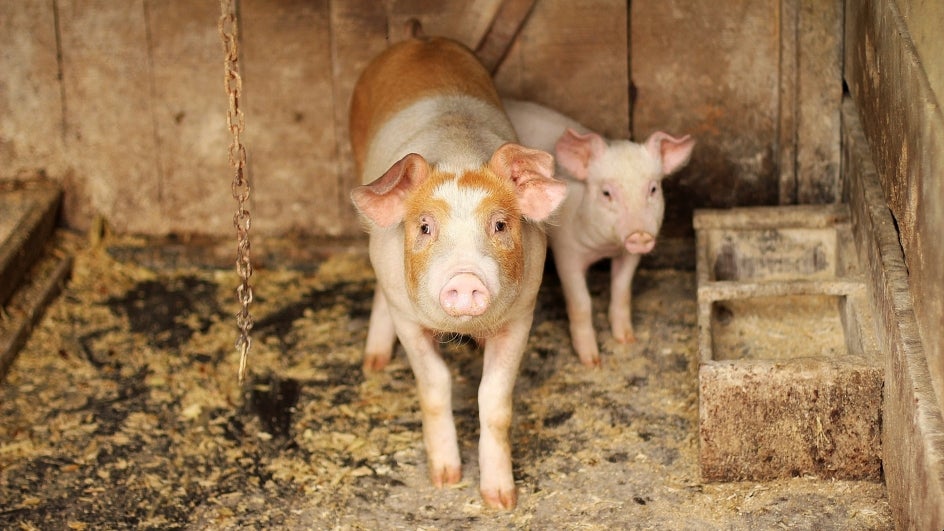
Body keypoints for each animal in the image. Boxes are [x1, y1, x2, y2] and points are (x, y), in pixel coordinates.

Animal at [349, 38, 566, 509]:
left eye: (500, 225)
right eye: (425, 227)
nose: (465, 277)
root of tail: (420, 39)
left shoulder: (522, 314)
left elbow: (494, 401)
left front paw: (501, 501)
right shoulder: (408, 318)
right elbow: (435, 386)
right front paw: (445, 481)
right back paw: (374, 363)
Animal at [503, 99, 695, 367]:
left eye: (653, 189)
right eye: (606, 193)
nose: (640, 235)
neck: (604, 247)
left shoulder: (629, 254)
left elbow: (622, 290)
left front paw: (627, 339)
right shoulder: (566, 252)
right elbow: (581, 302)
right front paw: (591, 361)